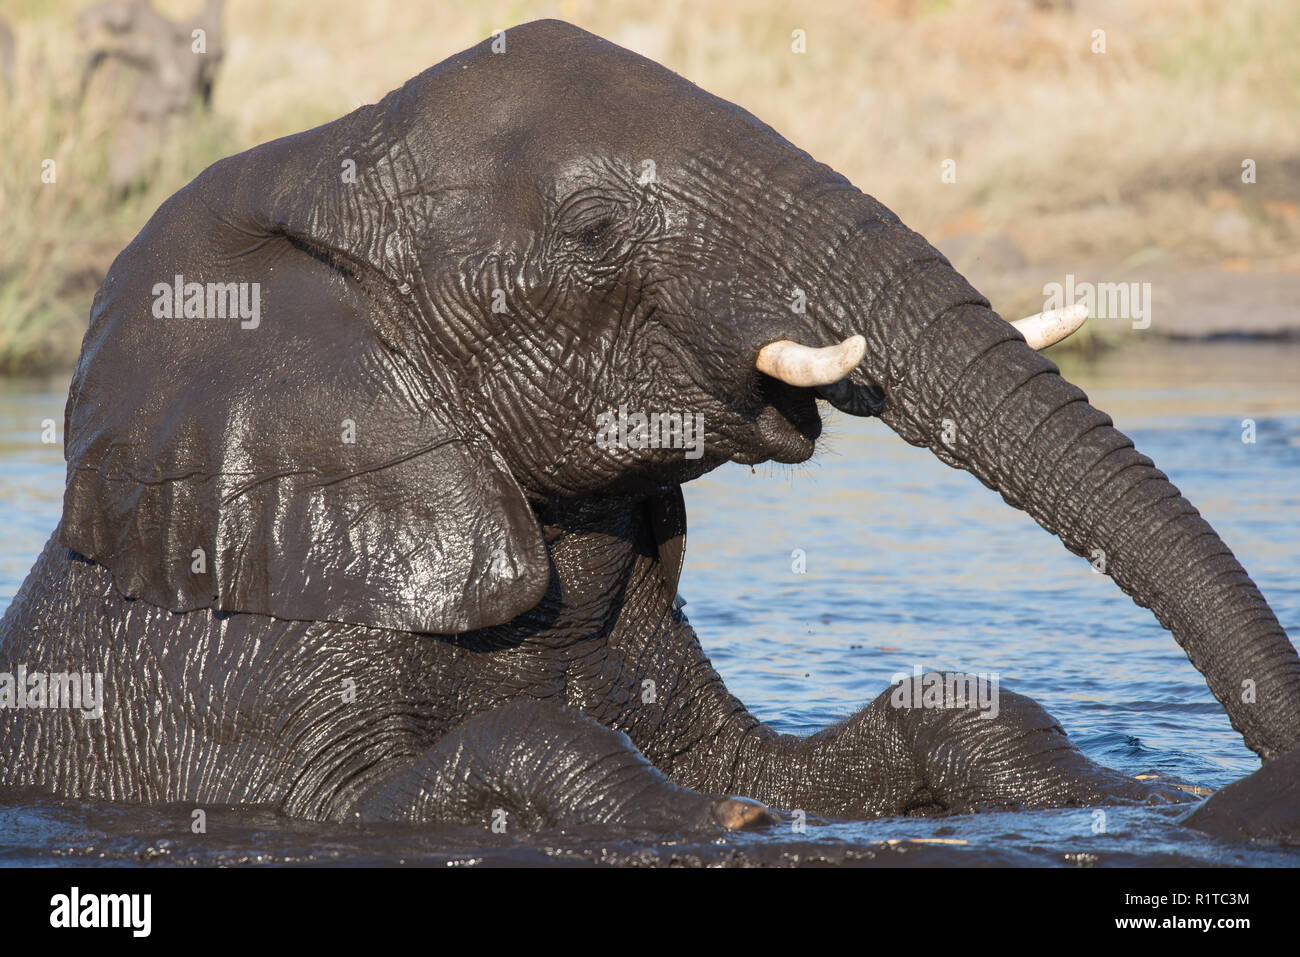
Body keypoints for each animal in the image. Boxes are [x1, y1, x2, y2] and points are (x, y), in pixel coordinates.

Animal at [1, 19, 1297, 837]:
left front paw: (1137, 802)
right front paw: (721, 819)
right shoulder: (242, 675)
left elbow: (912, 725)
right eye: (594, 230)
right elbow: (385, 789)